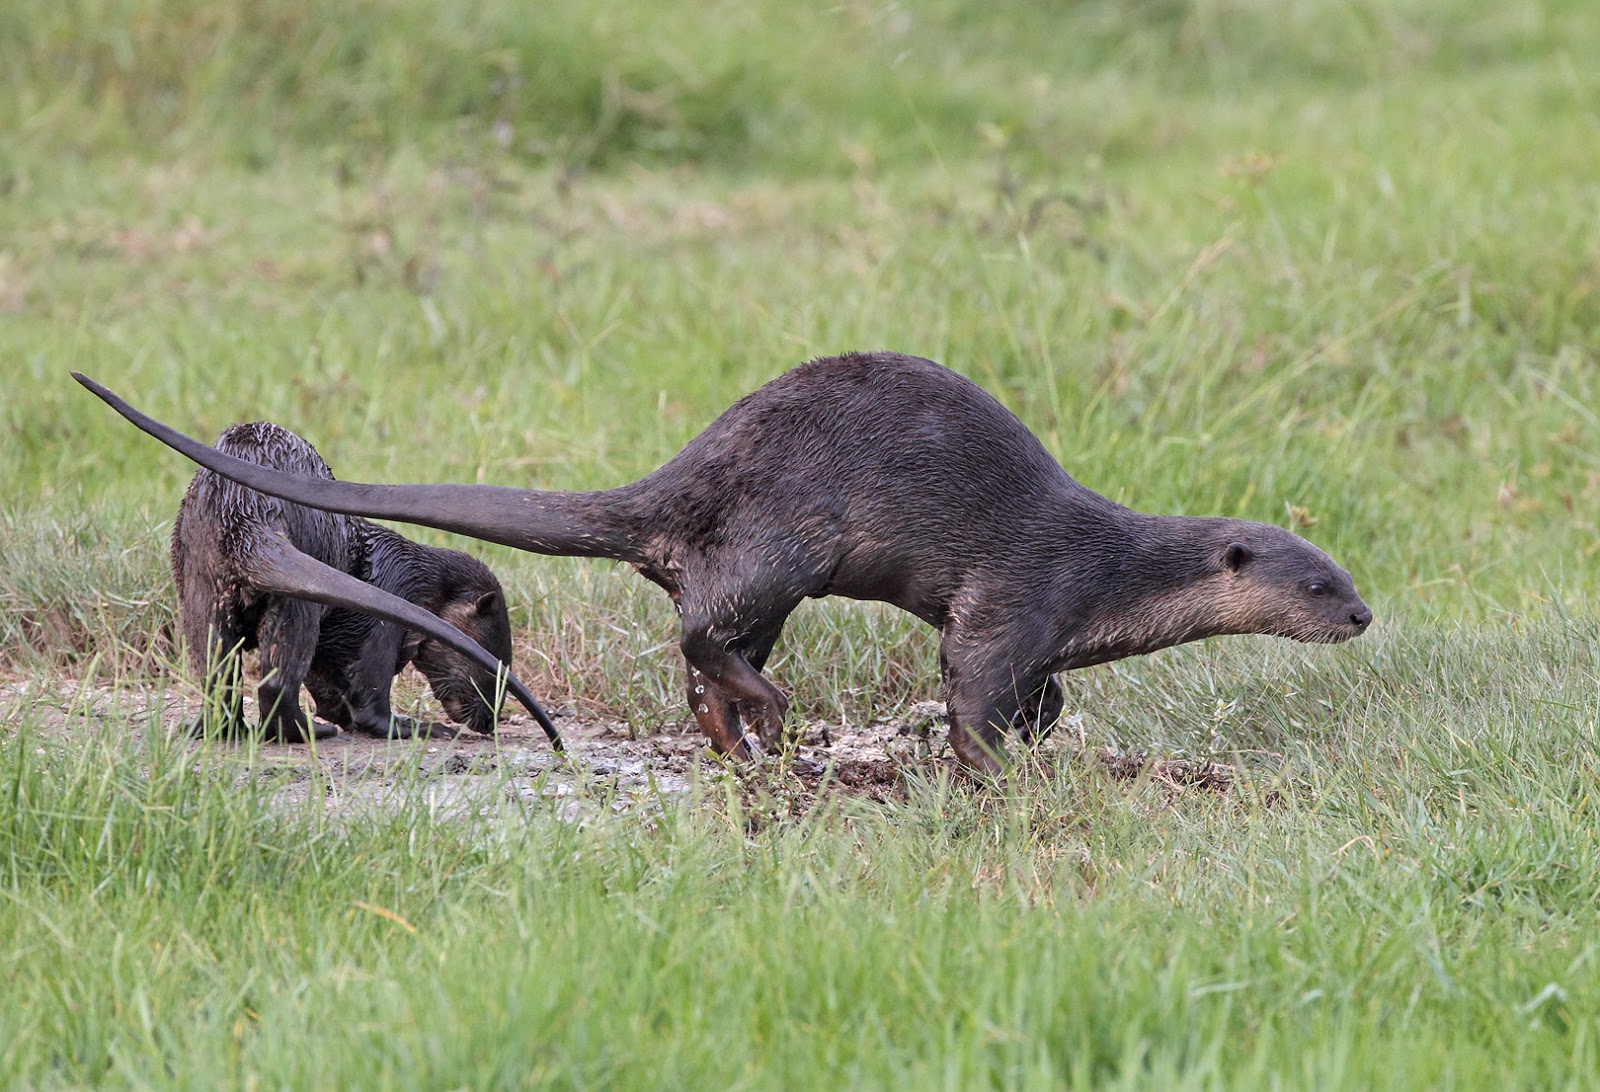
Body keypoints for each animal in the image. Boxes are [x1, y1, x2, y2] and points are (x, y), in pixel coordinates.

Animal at [170, 421, 561, 747]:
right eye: (492, 671)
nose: (489, 721)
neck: (417, 580)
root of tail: (245, 511)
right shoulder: (393, 594)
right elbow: (363, 694)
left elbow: (330, 690)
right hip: (306, 589)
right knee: (300, 683)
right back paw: (325, 732)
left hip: (201, 582)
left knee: (216, 672)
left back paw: (213, 729)